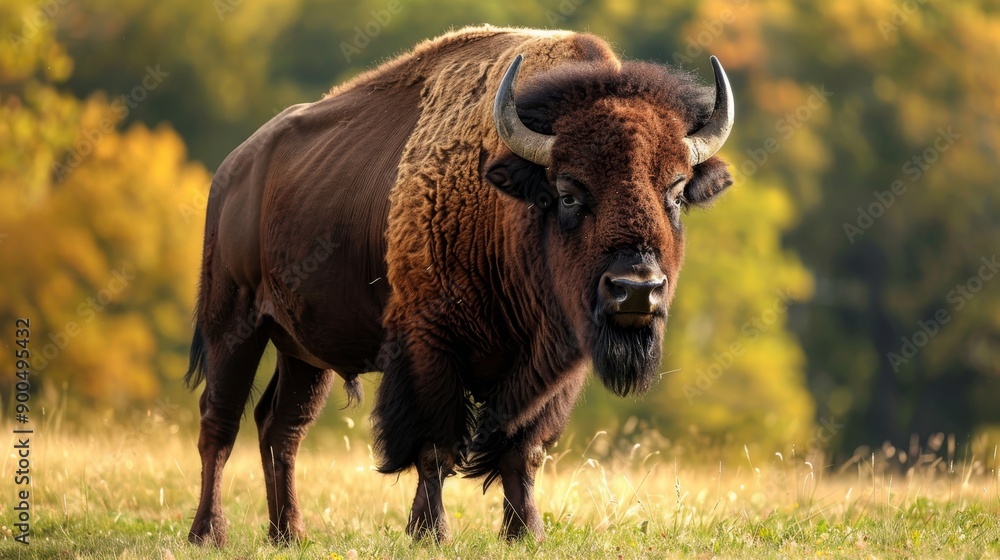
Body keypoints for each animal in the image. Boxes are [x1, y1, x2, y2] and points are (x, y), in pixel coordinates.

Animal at [185, 25, 735, 545]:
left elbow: (522, 451)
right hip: (233, 325)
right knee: (220, 423)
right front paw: (430, 531)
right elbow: (436, 445)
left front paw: (525, 532)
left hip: (303, 352)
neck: (505, 209)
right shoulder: (430, 347)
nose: (636, 289)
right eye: (568, 193)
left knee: (281, 427)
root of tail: (233, 170)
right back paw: (208, 533)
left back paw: (289, 534)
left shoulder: (555, 369)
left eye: (676, 194)